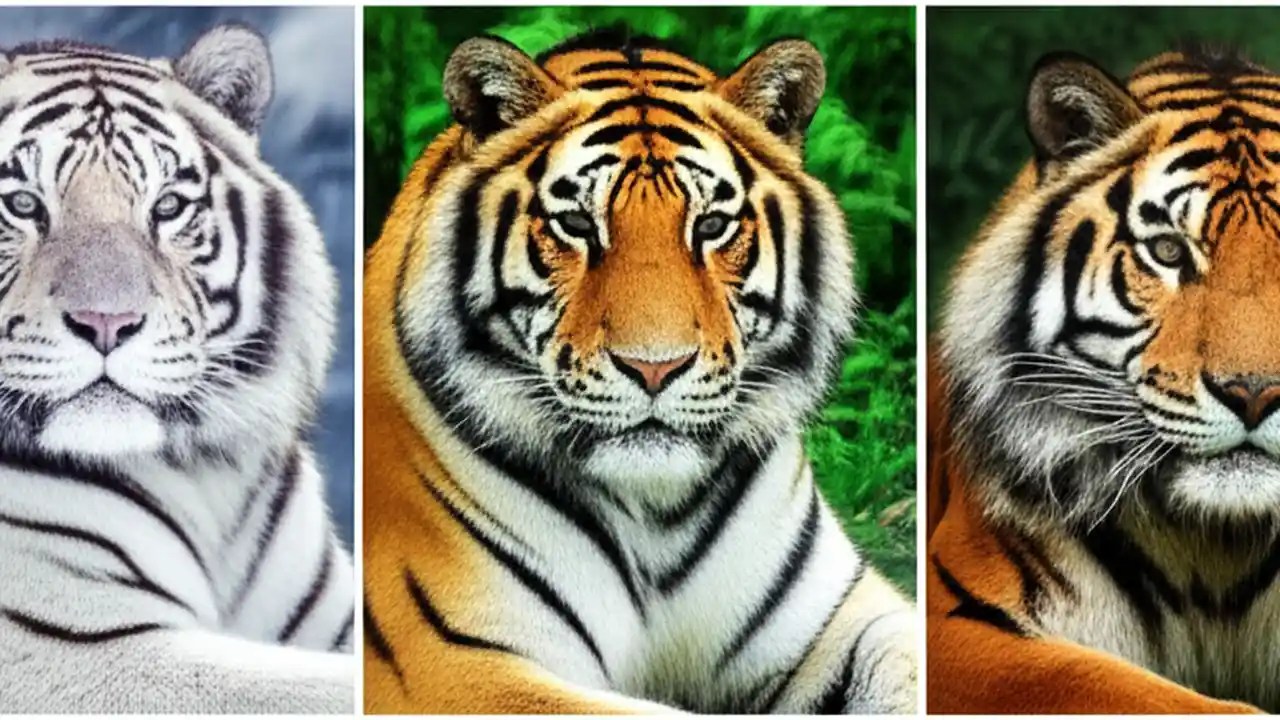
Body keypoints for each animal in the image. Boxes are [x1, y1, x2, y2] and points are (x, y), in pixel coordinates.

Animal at [363, 30, 917, 714]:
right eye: (576, 224)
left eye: (712, 226)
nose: (656, 369)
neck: (657, 516)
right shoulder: (455, 662)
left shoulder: (841, 618)